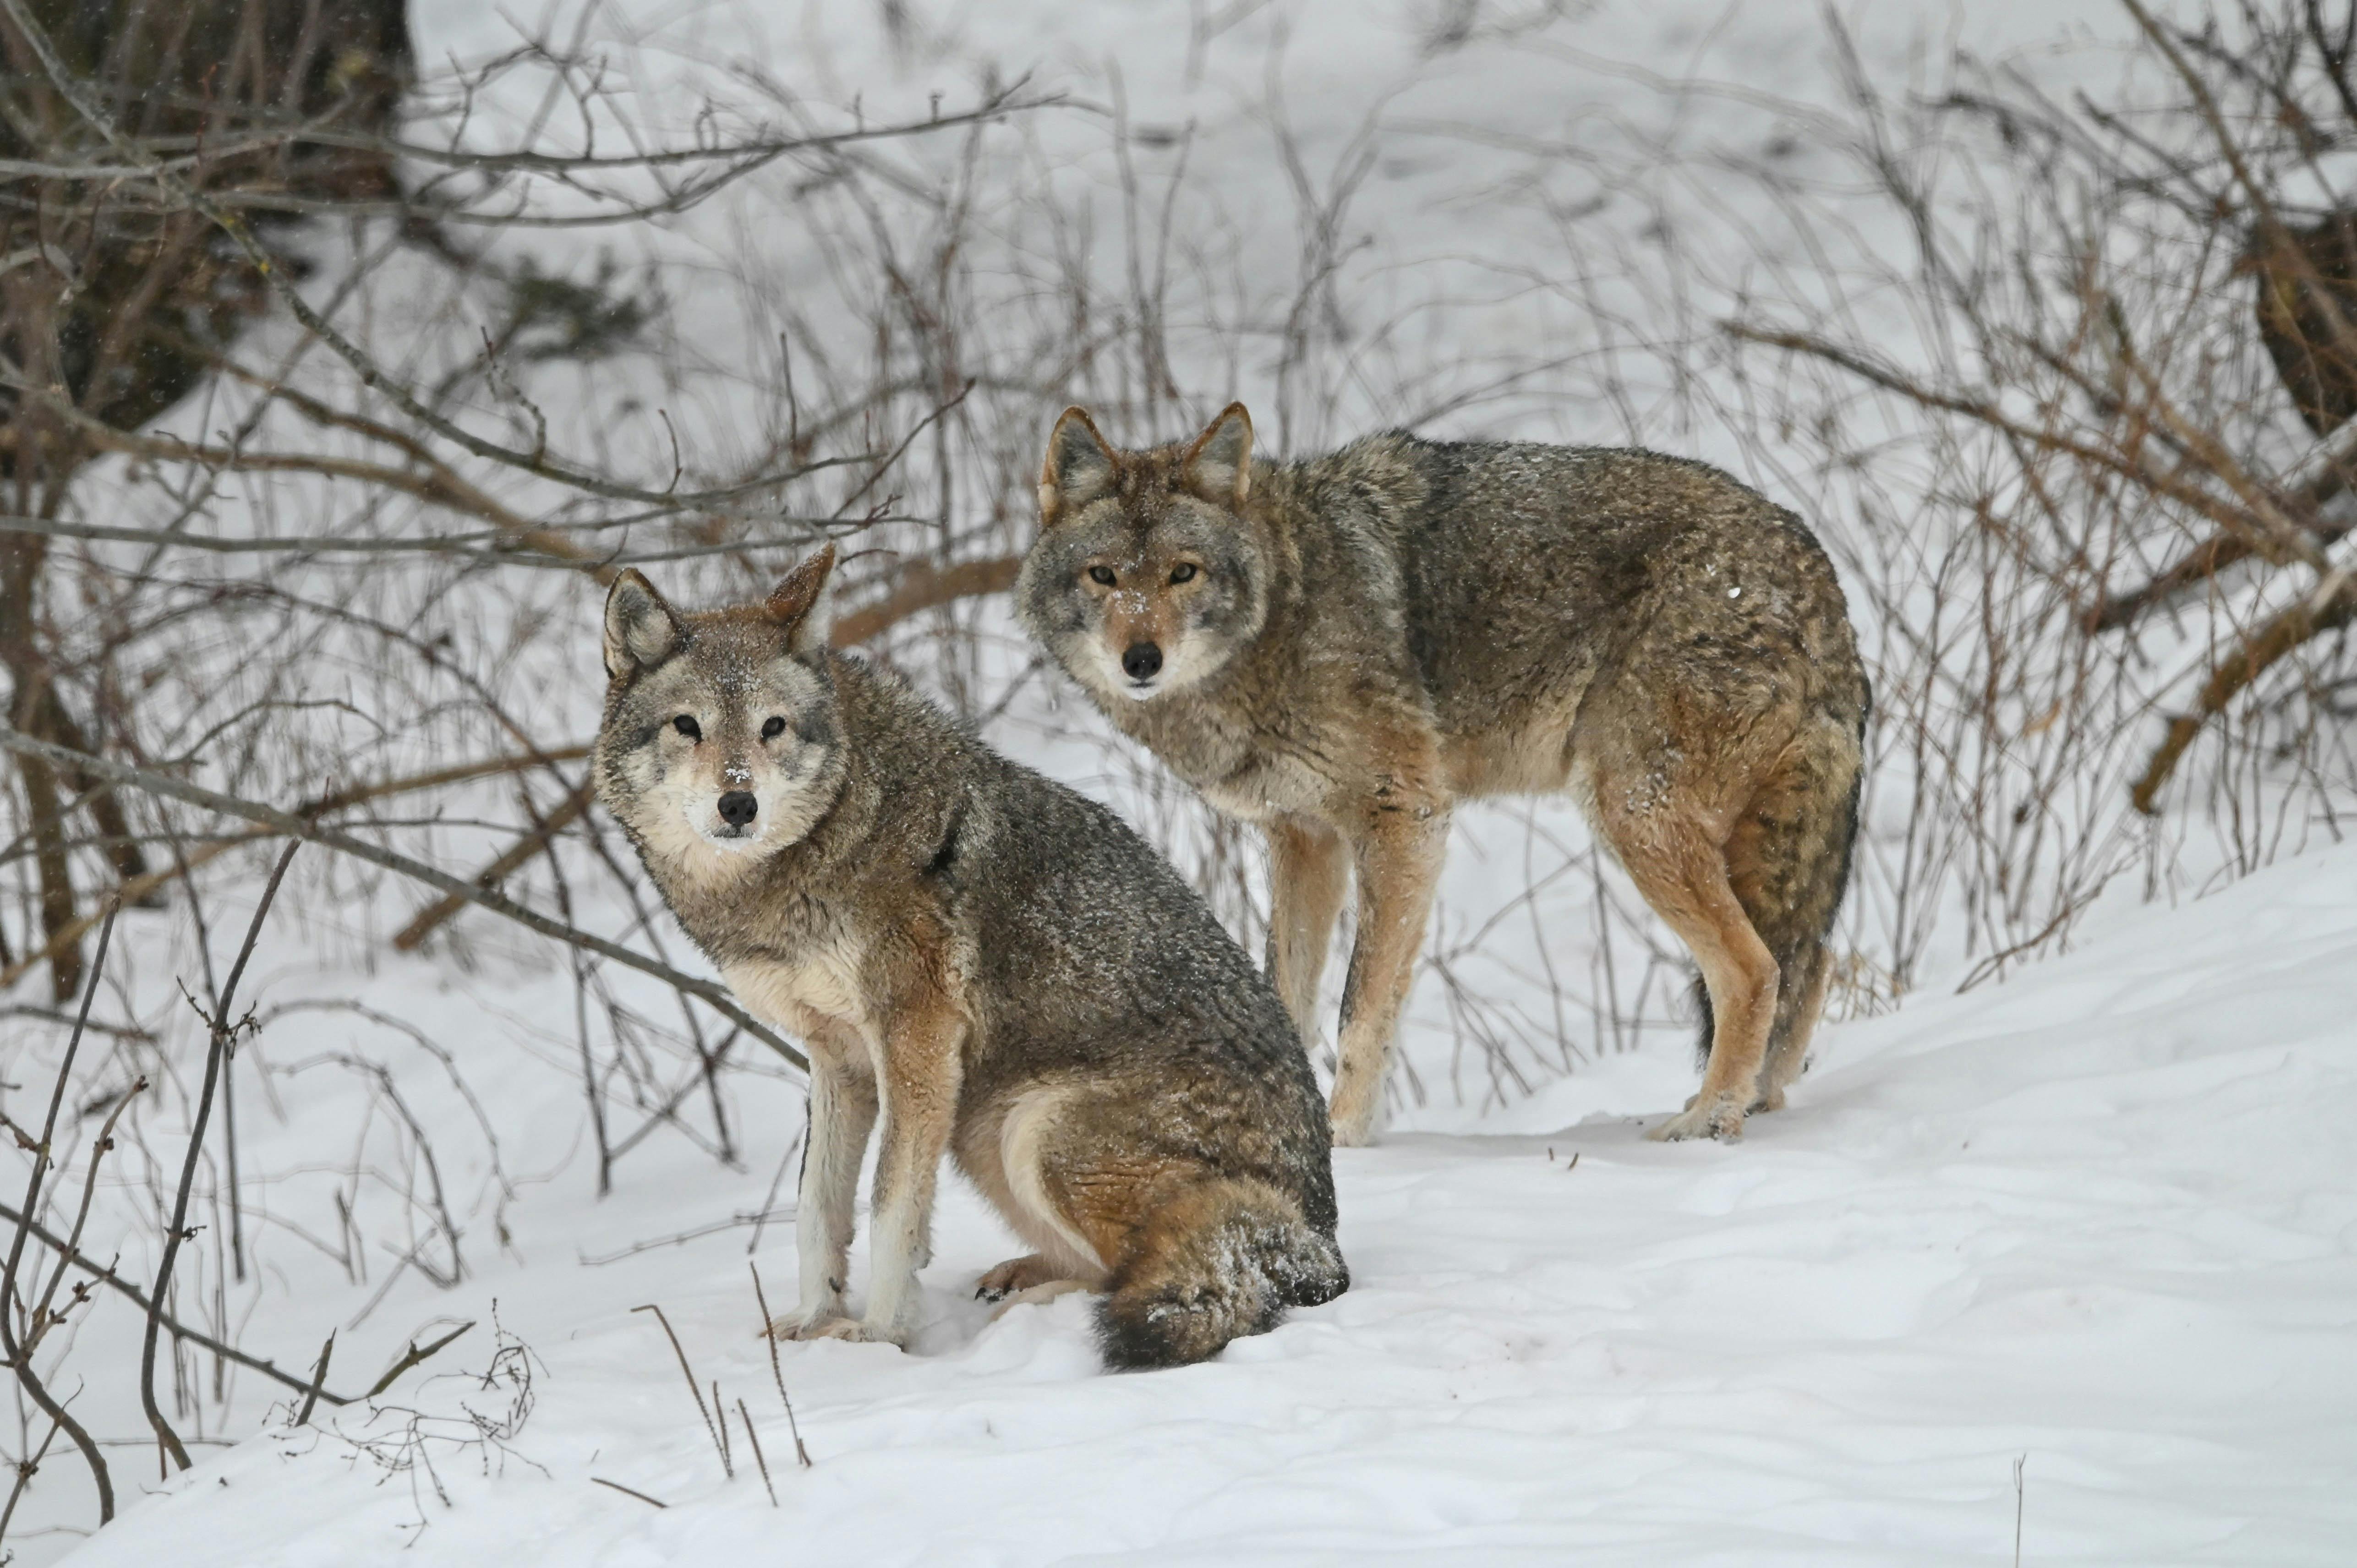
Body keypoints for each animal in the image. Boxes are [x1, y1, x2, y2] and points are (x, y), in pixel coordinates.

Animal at [593, 545, 1347, 1368]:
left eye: (773, 727)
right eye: (687, 726)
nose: (739, 804)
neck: (829, 838)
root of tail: (1320, 1235)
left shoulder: (914, 1039)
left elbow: (891, 1205)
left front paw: (879, 1336)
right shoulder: (837, 1058)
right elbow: (816, 1208)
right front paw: (812, 1321)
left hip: (1035, 1131)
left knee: (1157, 1272)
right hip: (984, 1129)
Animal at [1018, 404, 1869, 1145]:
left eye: (1182, 574)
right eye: (1103, 576)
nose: (1142, 659)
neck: (1284, 609)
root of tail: (1819, 570)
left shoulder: (1404, 818)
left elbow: (1360, 1010)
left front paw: (1344, 1139)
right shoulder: (1304, 838)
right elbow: (1287, 997)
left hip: (1634, 815)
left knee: (1755, 970)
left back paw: (1706, 1121)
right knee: (1811, 960)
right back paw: (1753, 1102)